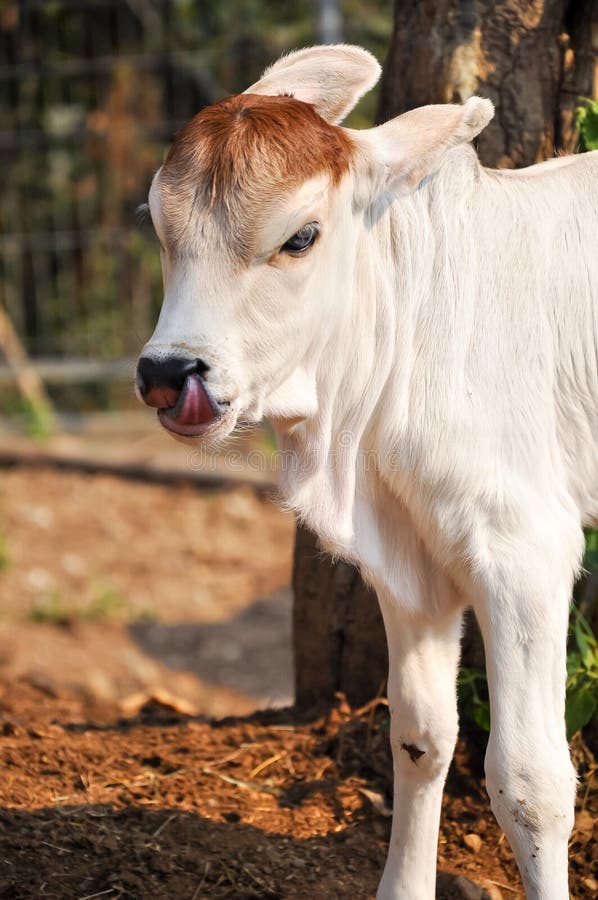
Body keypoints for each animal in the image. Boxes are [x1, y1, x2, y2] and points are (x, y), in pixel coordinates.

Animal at [135, 45, 598, 900]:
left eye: (302, 237)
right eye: (159, 223)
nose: (168, 372)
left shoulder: (526, 552)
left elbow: (531, 782)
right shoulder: (409, 563)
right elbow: (421, 737)